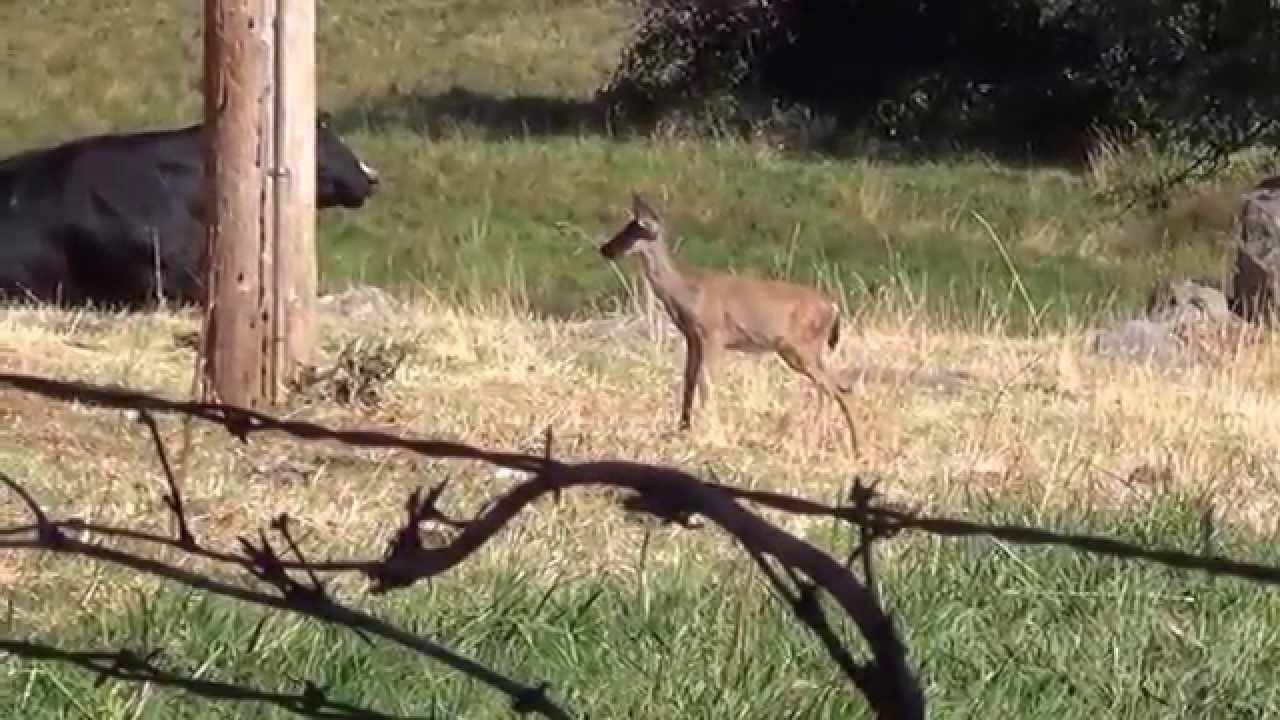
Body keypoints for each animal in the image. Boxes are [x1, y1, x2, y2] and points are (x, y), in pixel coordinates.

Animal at [600, 192, 861, 455]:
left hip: (803, 347)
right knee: (836, 386)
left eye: (635, 231)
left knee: (834, 389)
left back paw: (840, 446)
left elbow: (707, 382)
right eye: (625, 227)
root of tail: (834, 307)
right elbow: (689, 380)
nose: (605, 249)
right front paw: (683, 429)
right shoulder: (693, 337)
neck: (686, 293)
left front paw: (713, 437)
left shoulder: (714, 334)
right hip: (799, 351)